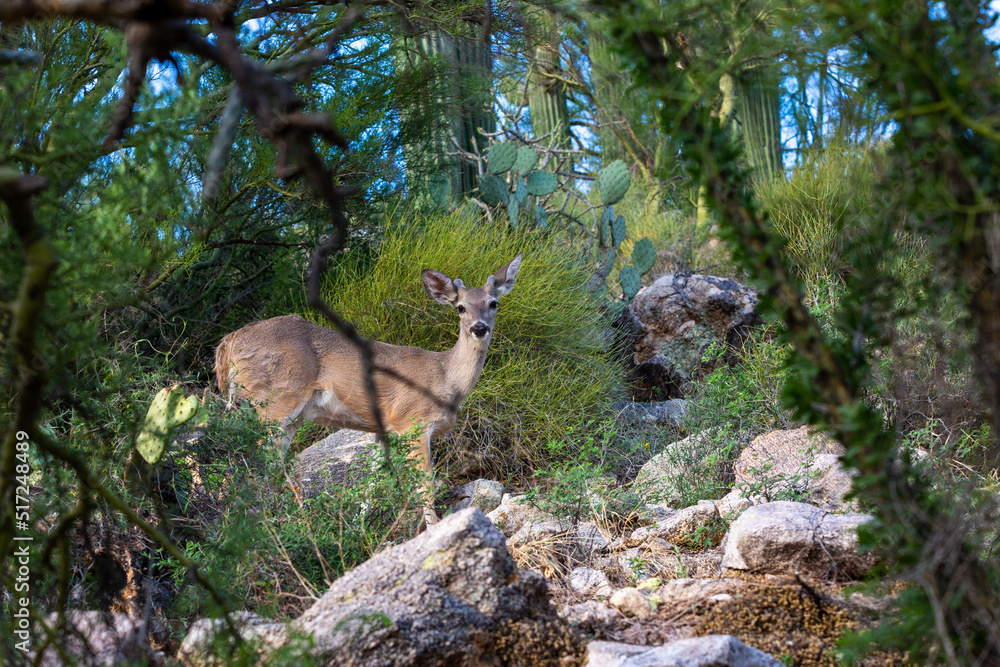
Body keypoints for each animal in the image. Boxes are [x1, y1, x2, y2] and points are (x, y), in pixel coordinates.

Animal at [214, 253, 522, 525]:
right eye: (460, 307)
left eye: (493, 303)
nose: (479, 328)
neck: (446, 379)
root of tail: (230, 341)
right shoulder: (413, 422)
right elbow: (426, 484)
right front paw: (434, 528)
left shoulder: (383, 430)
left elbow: (372, 483)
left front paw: (358, 526)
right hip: (275, 400)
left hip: (283, 415)